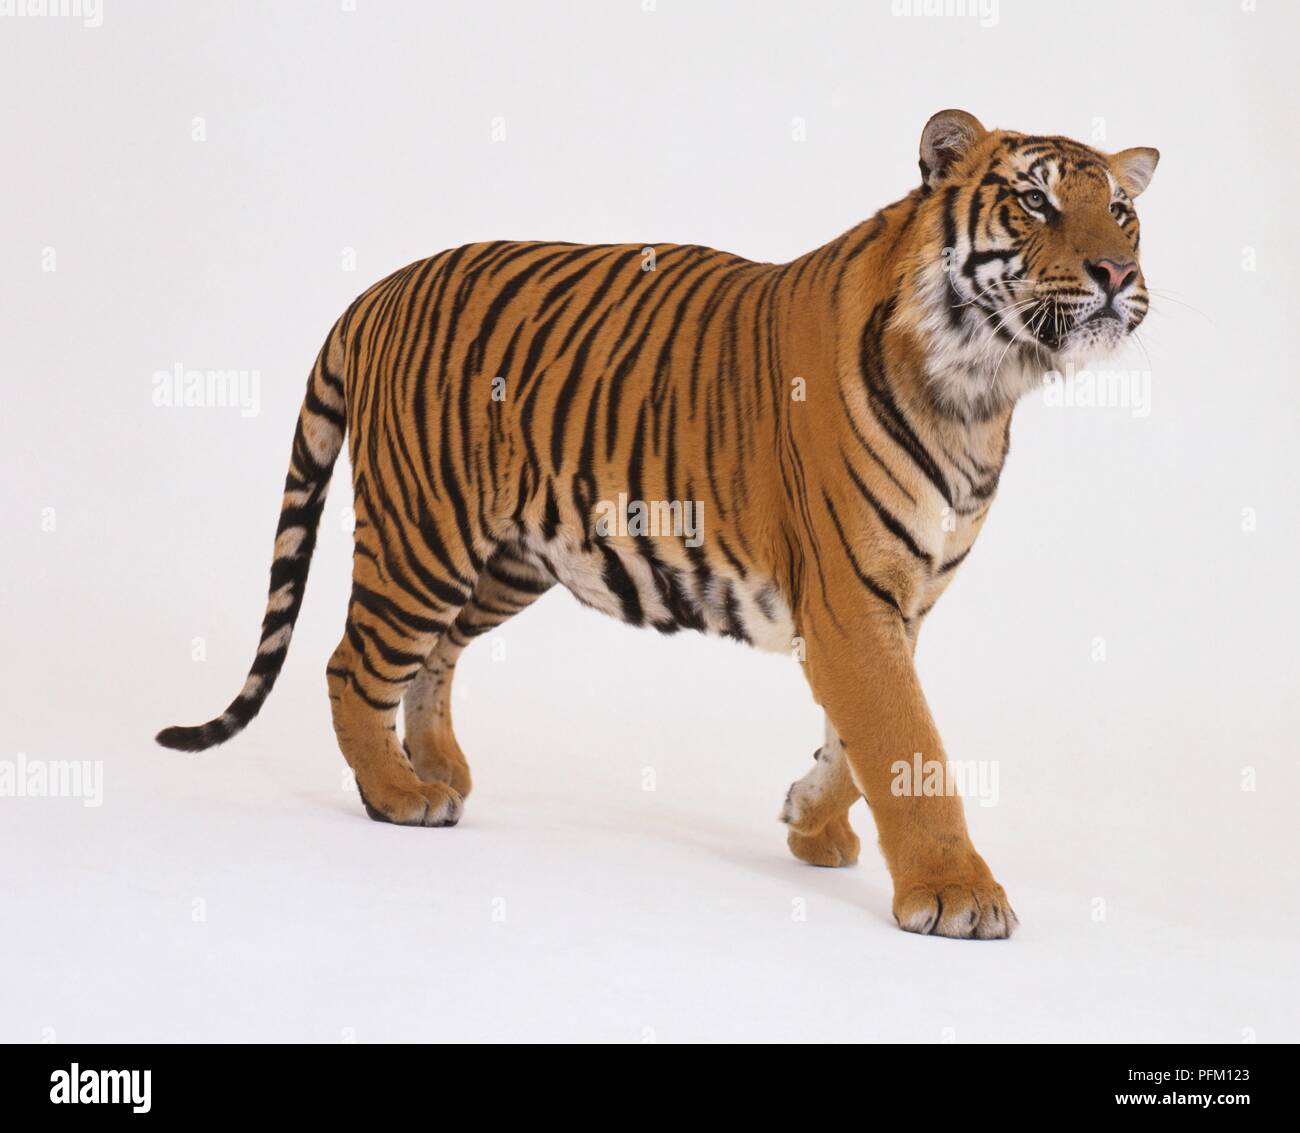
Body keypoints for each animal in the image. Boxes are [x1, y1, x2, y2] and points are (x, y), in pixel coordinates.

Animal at [157, 110, 1159, 940]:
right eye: (1034, 201)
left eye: (1120, 211)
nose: (1118, 274)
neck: (985, 389)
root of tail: (375, 293)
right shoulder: (849, 598)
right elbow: (910, 744)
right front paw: (956, 894)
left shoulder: (895, 602)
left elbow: (859, 736)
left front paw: (810, 819)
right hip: (423, 537)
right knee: (352, 663)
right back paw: (400, 794)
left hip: (508, 559)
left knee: (432, 658)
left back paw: (439, 770)